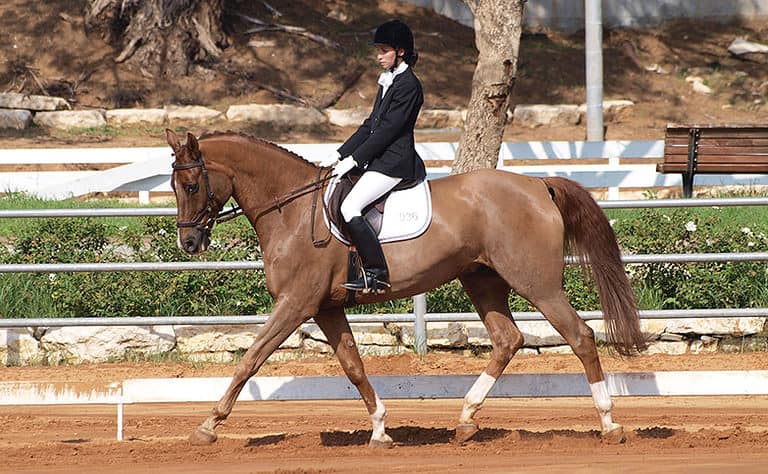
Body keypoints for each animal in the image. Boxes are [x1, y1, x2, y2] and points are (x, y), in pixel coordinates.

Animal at [165, 129, 647, 447]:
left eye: (191, 184)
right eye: (173, 185)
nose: (188, 244)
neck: (292, 210)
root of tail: (537, 184)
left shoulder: (296, 304)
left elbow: (250, 359)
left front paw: (208, 425)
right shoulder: (325, 308)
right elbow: (354, 367)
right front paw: (380, 429)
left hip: (537, 283)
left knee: (580, 336)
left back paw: (609, 424)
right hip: (481, 280)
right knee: (507, 340)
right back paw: (465, 419)